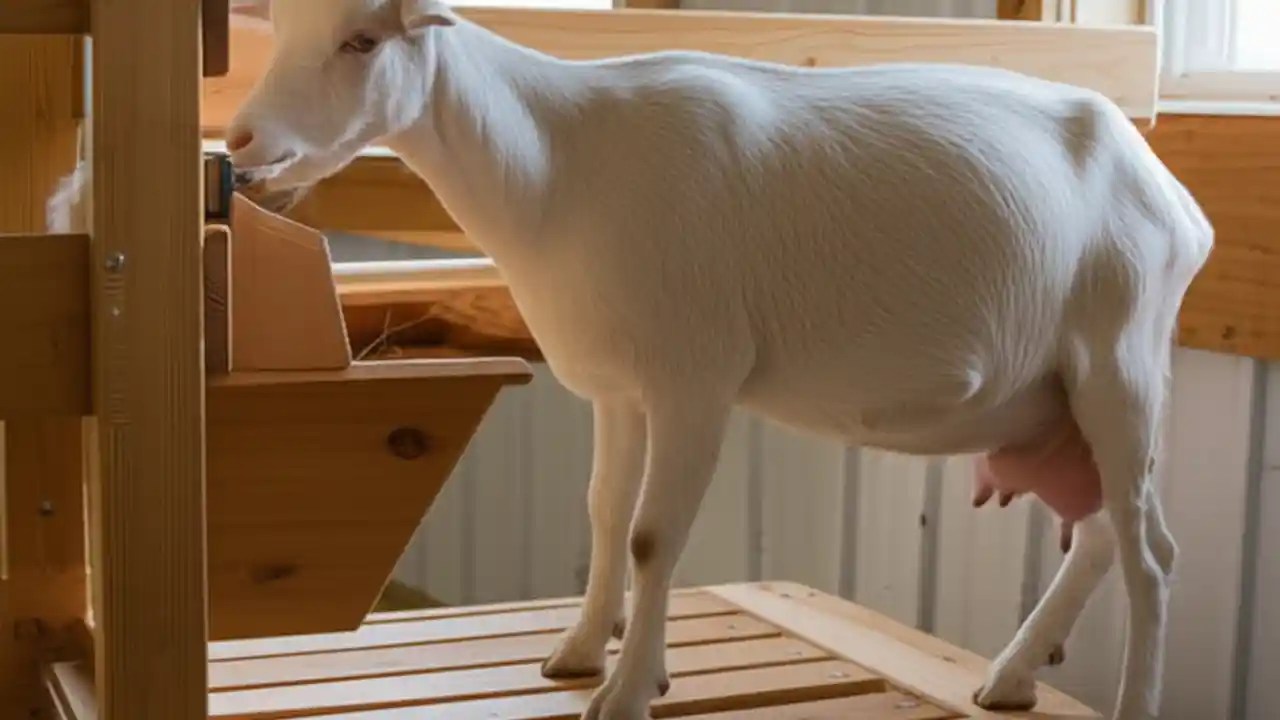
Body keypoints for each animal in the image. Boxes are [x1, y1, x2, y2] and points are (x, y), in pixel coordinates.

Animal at [224, 2, 1212, 717]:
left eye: (360, 40)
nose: (240, 141)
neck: (557, 167)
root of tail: (1178, 201)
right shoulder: (618, 388)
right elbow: (602, 513)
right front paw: (577, 652)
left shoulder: (692, 376)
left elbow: (652, 536)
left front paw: (629, 690)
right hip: (1063, 401)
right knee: (1101, 535)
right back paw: (1009, 676)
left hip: (1122, 368)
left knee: (1154, 556)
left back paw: (1130, 702)